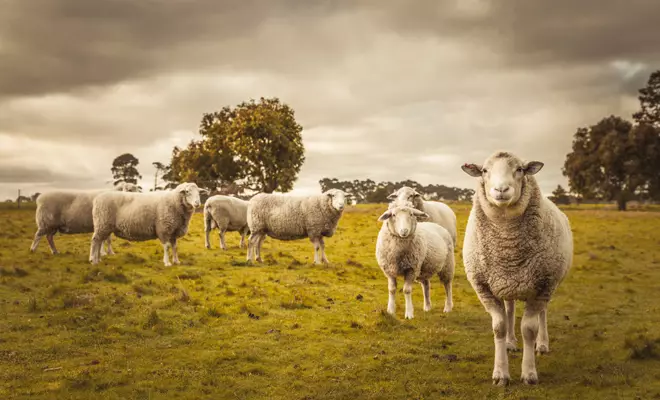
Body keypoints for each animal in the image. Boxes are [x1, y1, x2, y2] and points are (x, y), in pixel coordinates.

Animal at [458, 152, 572, 386]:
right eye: (484, 170)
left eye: (520, 169)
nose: (501, 190)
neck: (507, 249)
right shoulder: (484, 288)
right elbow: (499, 327)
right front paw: (500, 374)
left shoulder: (543, 285)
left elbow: (529, 329)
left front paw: (529, 373)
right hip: (508, 284)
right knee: (510, 309)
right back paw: (510, 342)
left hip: (545, 285)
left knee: (542, 313)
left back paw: (542, 344)